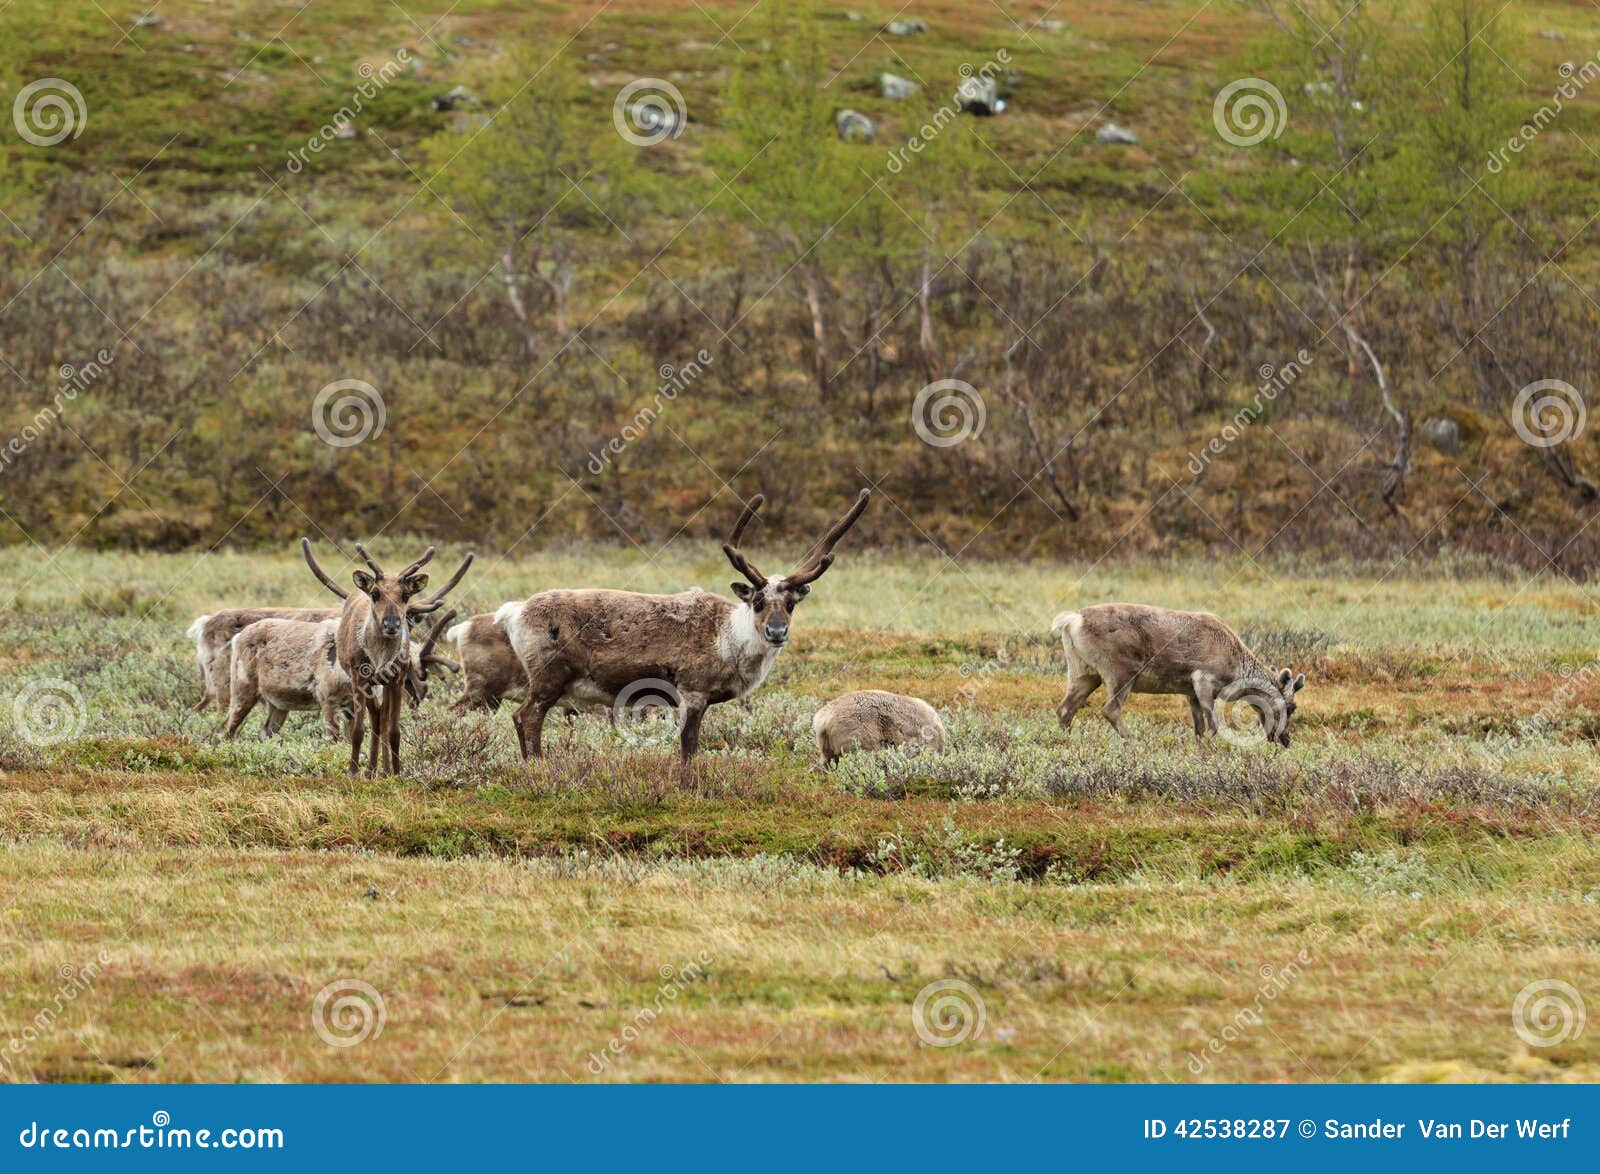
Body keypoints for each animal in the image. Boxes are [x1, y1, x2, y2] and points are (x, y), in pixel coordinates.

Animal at [222, 610, 459, 741]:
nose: (417, 698)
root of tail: (237, 638)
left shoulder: (350, 704)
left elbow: (350, 736)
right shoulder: (328, 698)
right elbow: (333, 737)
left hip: (278, 704)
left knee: (265, 731)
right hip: (243, 690)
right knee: (227, 727)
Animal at [301, 539, 474, 775]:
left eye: (405, 595)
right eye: (375, 594)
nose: (391, 624)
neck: (380, 658)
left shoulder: (397, 680)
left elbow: (394, 730)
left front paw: (397, 771)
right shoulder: (359, 679)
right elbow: (357, 730)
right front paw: (353, 771)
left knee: (381, 719)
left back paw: (382, 769)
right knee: (375, 718)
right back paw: (370, 770)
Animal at [495, 489, 871, 761]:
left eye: (791, 604)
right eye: (758, 601)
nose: (776, 632)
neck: (729, 639)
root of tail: (513, 612)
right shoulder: (692, 689)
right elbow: (688, 748)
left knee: (519, 717)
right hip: (549, 676)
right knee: (527, 716)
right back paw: (539, 764)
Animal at [1051, 603, 1307, 747]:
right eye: (1291, 707)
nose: (1285, 740)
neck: (1237, 664)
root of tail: (1072, 620)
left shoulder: (1189, 692)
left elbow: (1199, 729)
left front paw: (1201, 752)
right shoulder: (1203, 681)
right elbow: (1213, 725)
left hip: (1083, 672)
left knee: (1065, 709)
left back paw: (1066, 744)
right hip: (1121, 673)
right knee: (1109, 709)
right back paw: (1133, 744)